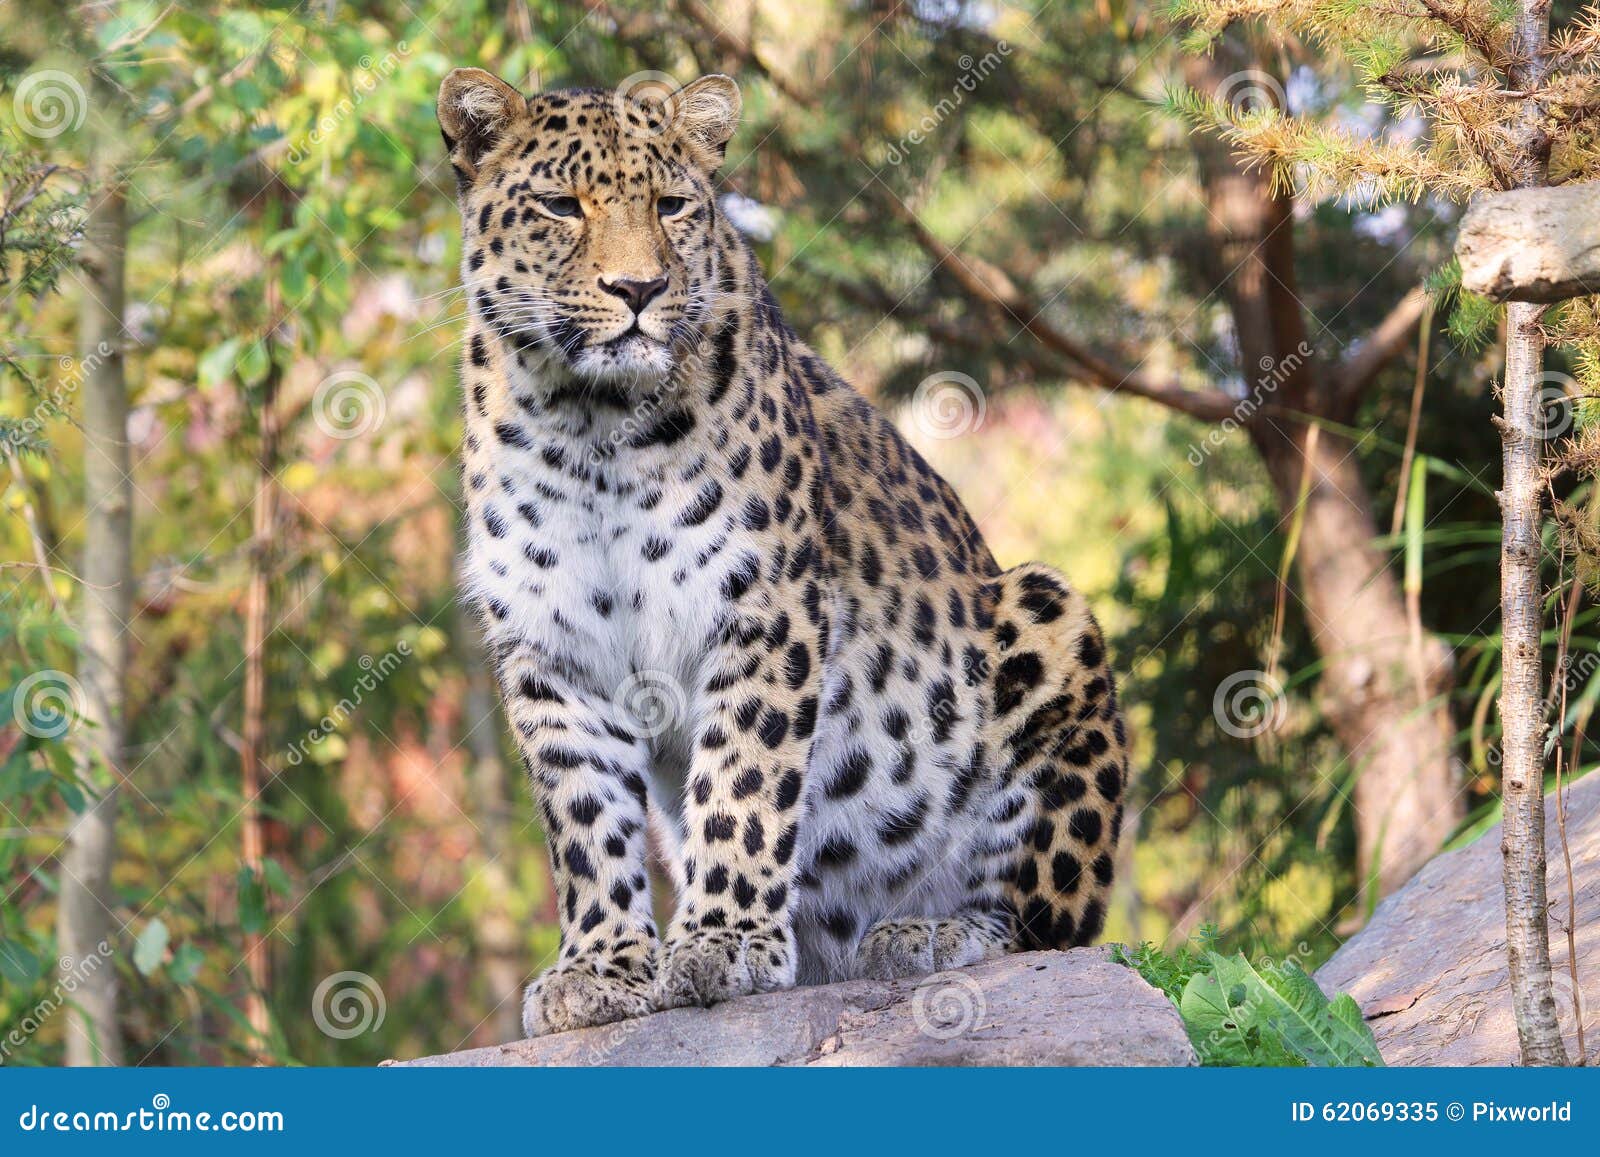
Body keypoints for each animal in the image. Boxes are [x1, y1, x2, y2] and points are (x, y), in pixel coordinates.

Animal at [436, 66, 1130, 1039]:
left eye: (672, 205)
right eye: (561, 205)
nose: (639, 288)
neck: (590, 421)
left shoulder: (765, 606)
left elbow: (744, 779)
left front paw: (722, 941)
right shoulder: (550, 645)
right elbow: (584, 817)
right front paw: (599, 968)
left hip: (1043, 610)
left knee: (1046, 923)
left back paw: (926, 932)